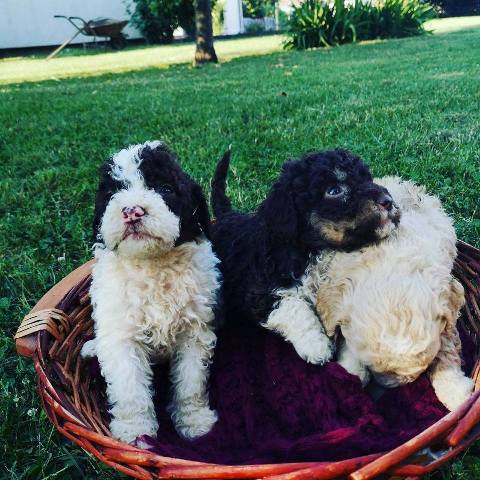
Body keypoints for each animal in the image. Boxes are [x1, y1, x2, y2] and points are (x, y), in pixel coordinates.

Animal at [81, 141, 221, 444]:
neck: (151, 265)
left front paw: (194, 422)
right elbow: (129, 388)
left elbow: (190, 382)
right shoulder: (121, 334)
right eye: (114, 191)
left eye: (165, 188)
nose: (132, 211)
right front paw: (135, 433)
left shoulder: (195, 330)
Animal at [212, 149, 400, 364]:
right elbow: (293, 307)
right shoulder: (261, 291)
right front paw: (317, 346)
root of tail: (224, 215)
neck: (311, 250)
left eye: (367, 178)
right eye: (334, 190)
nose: (387, 200)